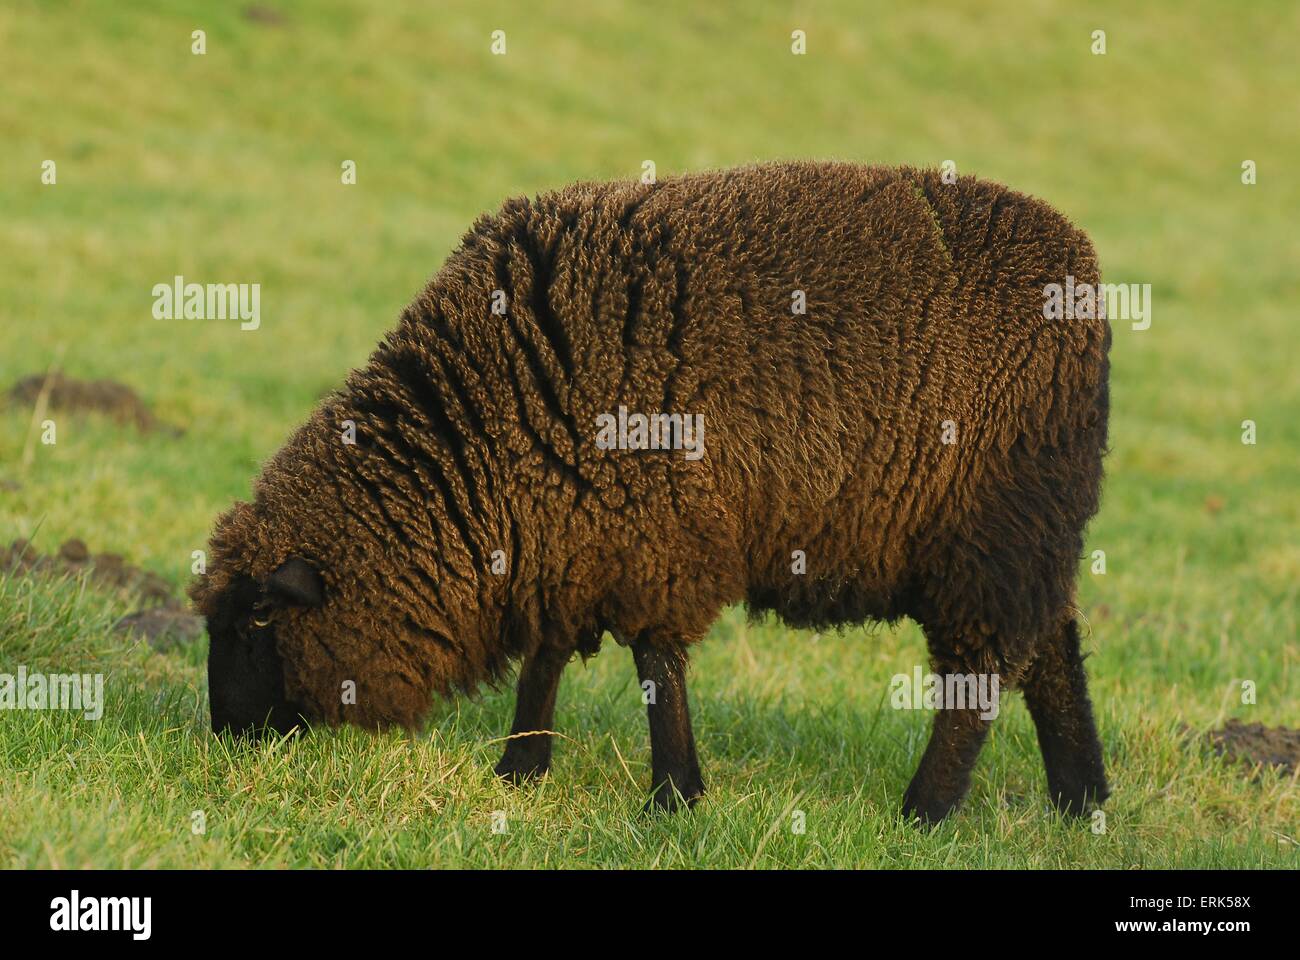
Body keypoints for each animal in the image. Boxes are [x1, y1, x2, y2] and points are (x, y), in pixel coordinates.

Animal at [191, 161, 1111, 822]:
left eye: (261, 615)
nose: (223, 736)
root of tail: (1083, 272)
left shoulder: (653, 534)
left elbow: (654, 665)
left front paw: (673, 796)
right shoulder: (568, 527)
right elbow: (548, 653)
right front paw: (520, 768)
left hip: (991, 528)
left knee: (982, 671)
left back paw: (926, 811)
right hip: (1032, 527)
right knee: (1053, 653)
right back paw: (1081, 798)